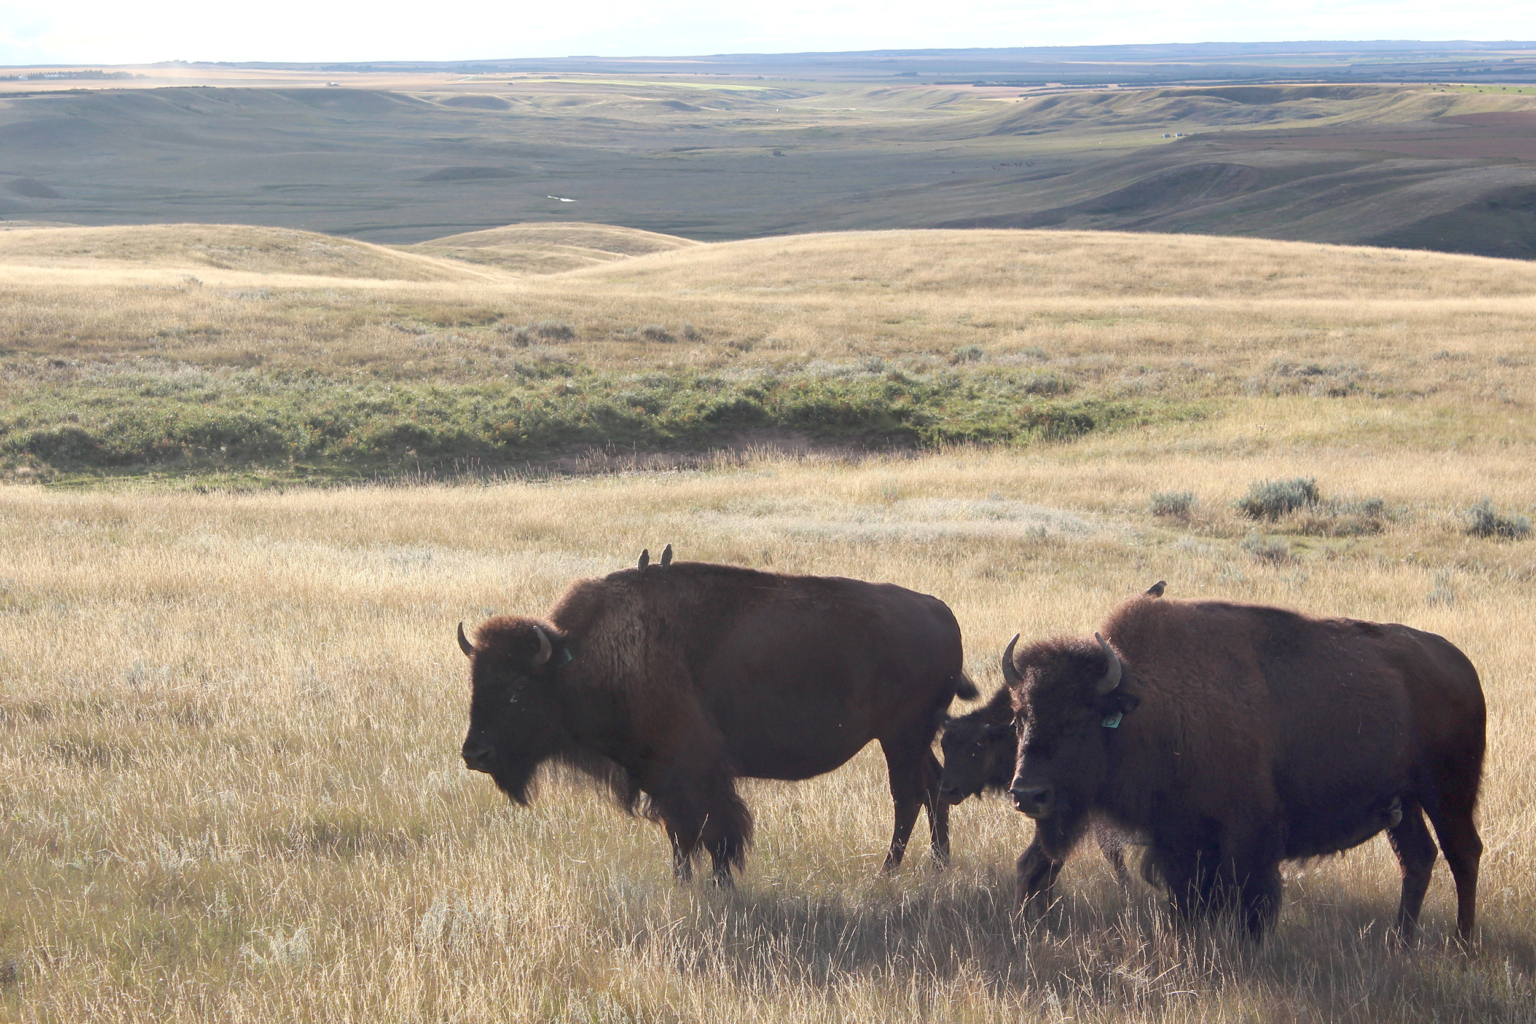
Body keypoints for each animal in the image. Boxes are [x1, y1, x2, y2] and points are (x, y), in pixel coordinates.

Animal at [457, 552, 975, 883]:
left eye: (518, 690)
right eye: (475, 685)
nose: (474, 753)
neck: (581, 659)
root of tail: (942, 612)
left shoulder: (691, 770)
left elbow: (713, 829)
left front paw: (719, 884)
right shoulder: (658, 775)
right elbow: (679, 834)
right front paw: (683, 881)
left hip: (900, 737)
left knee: (908, 796)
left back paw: (886, 872)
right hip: (912, 739)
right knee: (934, 788)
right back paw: (938, 865)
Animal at [1004, 594, 1485, 940]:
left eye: (1077, 719)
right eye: (1020, 717)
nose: (1028, 794)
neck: (1150, 705)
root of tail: (1461, 664)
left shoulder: (1246, 837)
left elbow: (1248, 902)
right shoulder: (1179, 840)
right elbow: (1189, 903)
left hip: (1448, 796)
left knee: (1464, 853)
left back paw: (1461, 943)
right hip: (1404, 802)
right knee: (1418, 859)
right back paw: (1399, 941)